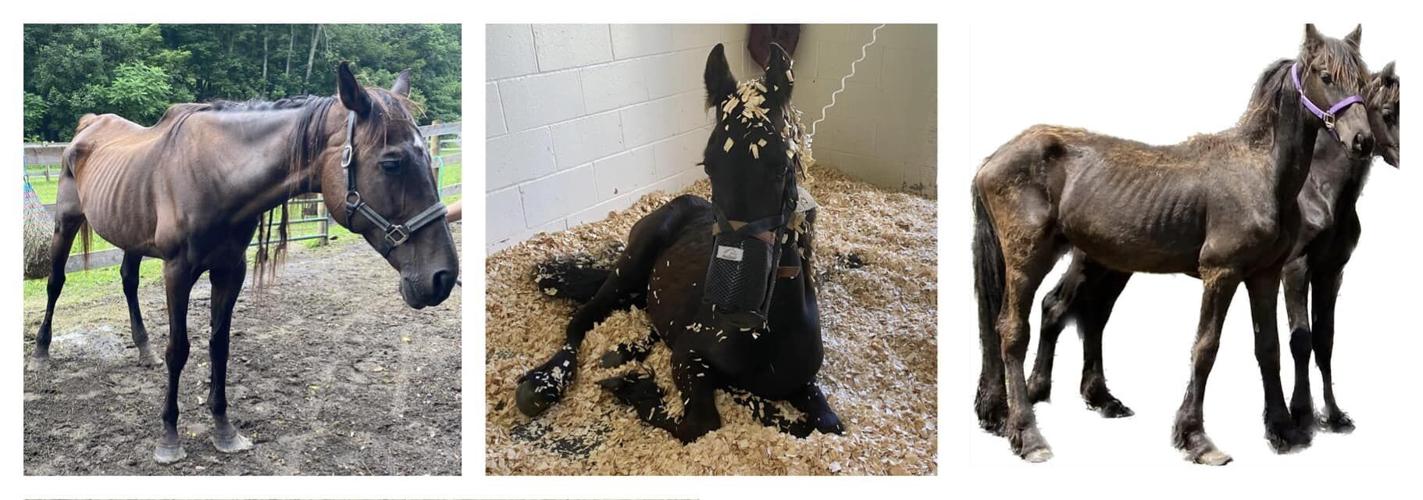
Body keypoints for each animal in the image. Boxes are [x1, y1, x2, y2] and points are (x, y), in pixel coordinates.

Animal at [32, 62, 459, 464]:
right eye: (392, 163)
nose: (443, 276)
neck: (214, 175)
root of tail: (88, 127)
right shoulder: (177, 272)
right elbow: (179, 349)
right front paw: (169, 435)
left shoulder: (230, 270)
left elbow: (219, 346)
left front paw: (224, 428)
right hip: (65, 223)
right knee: (56, 282)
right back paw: (41, 352)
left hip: (131, 233)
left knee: (128, 281)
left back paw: (143, 349)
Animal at [513, 43, 844, 443]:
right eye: (708, 165)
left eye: (782, 164)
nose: (732, 309)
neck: (765, 337)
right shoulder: (688, 356)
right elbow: (701, 423)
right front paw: (633, 388)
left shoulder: (802, 381)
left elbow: (827, 422)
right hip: (630, 267)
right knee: (581, 320)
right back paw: (545, 383)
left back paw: (624, 351)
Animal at [972, 25, 1374, 464]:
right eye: (1326, 75)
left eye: (1363, 82)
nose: (1362, 141)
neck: (1262, 173)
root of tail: (992, 159)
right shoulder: (1222, 274)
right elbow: (1205, 348)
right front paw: (1197, 439)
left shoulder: (1265, 276)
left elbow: (1268, 348)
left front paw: (1283, 431)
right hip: (1027, 260)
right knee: (1013, 332)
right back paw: (1028, 436)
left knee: (1070, 316)